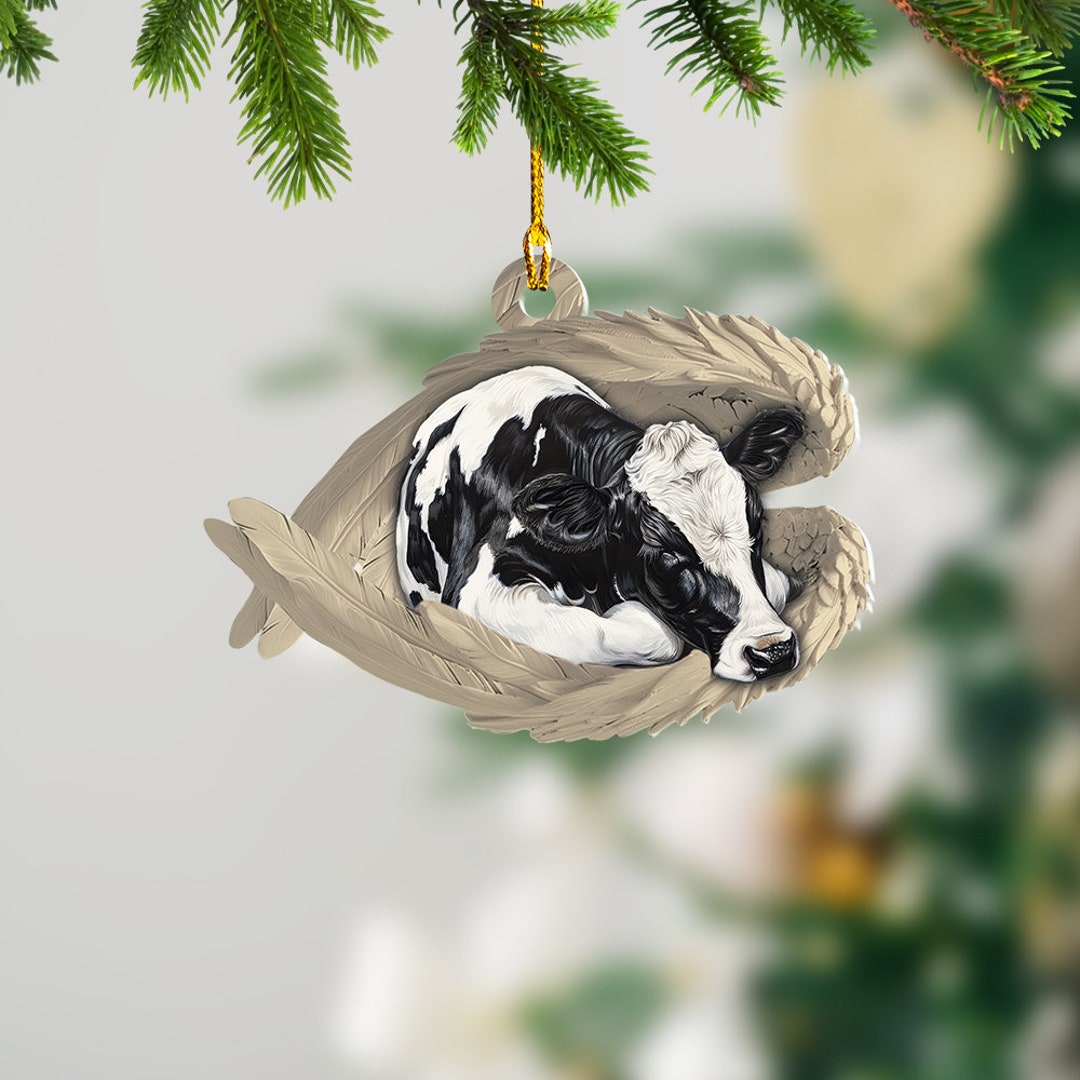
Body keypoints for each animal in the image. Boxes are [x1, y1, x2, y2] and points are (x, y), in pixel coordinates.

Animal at [396, 365, 805, 682]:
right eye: (665, 555)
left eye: (757, 528)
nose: (772, 651)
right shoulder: (474, 590)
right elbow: (640, 633)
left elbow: (780, 583)